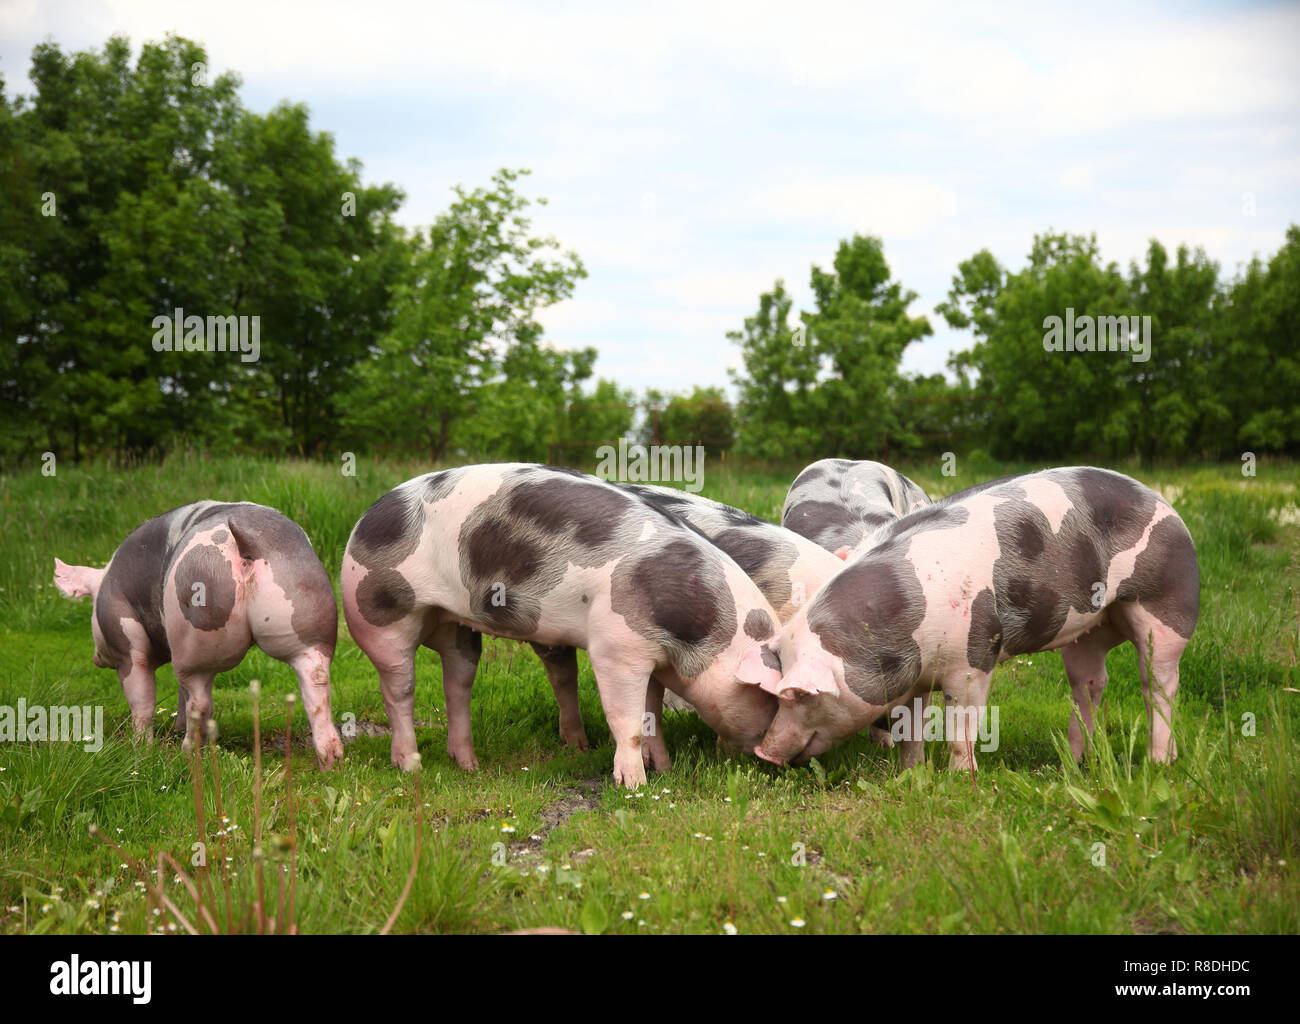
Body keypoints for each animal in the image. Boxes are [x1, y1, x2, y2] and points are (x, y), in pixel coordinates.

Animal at [53, 502, 345, 768]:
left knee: (199, 699)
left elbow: (142, 700)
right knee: (316, 681)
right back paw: (331, 762)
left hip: (198, 609)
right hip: (307, 607)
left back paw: (187, 754)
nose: (96, 658)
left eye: (92, 604)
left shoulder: (127, 645)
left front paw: (138, 751)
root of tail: (248, 540)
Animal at [339, 464, 783, 788]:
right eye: (769, 698)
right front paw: (634, 786)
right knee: (399, 689)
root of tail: (364, 516)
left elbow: (651, 712)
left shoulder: (653, 657)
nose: (785, 760)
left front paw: (665, 768)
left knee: (457, 684)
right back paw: (411, 766)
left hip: (457, 627)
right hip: (377, 611)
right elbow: (627, 719)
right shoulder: (615, 646)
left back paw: (469, 765)